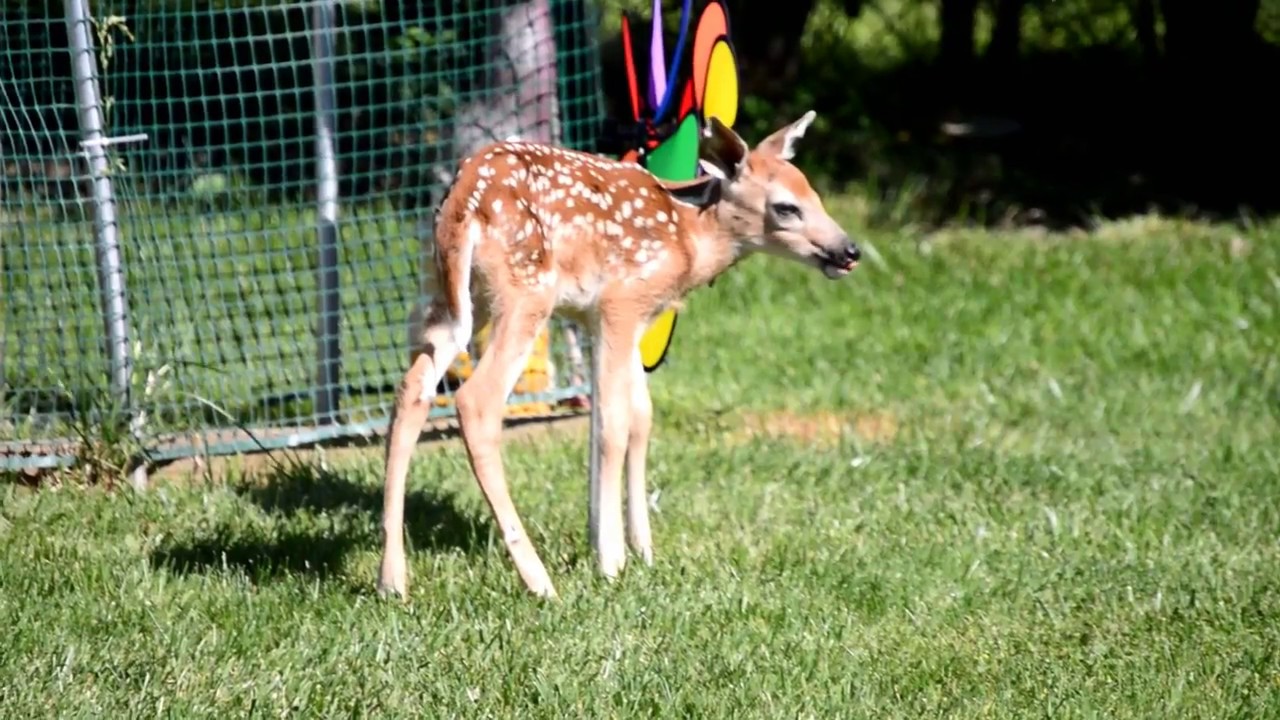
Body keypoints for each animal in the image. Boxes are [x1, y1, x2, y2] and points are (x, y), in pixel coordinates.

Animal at [378, 110, 861, 599]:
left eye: (815, 195)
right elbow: (614, 424)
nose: (849, 250)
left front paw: (636, 549)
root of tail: (463, 195)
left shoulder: (610, 318)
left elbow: (636, 418)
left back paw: (392, 579)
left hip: (451, 294)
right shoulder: (621, 303)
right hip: (525, 291)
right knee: (477, 401)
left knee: (412, 390)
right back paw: (538, 580)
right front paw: (612, 562)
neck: (691, 236)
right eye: (786, 207)